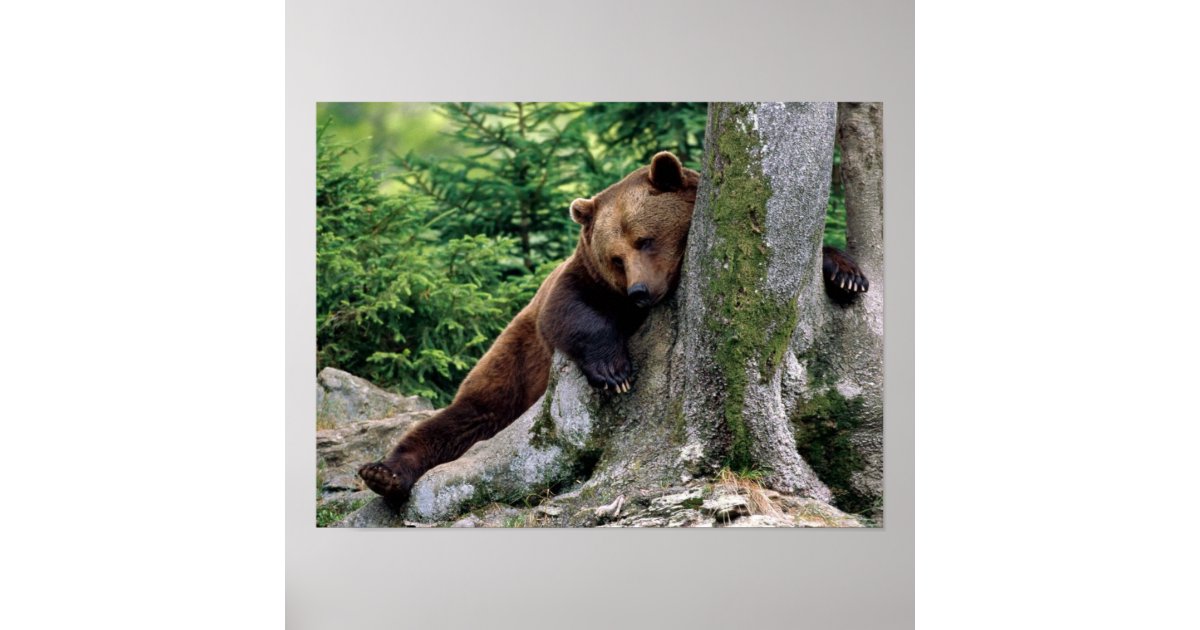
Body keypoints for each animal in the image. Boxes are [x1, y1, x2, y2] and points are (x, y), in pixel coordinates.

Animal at [358, 151, 867, 507]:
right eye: (616, 257)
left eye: (646, 239)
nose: (640, 292)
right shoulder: (581, 281)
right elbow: (569, 310)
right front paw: (614, 371)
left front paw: (846, 275)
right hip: (510, 368)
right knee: (459, 421)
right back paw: (384, 474)